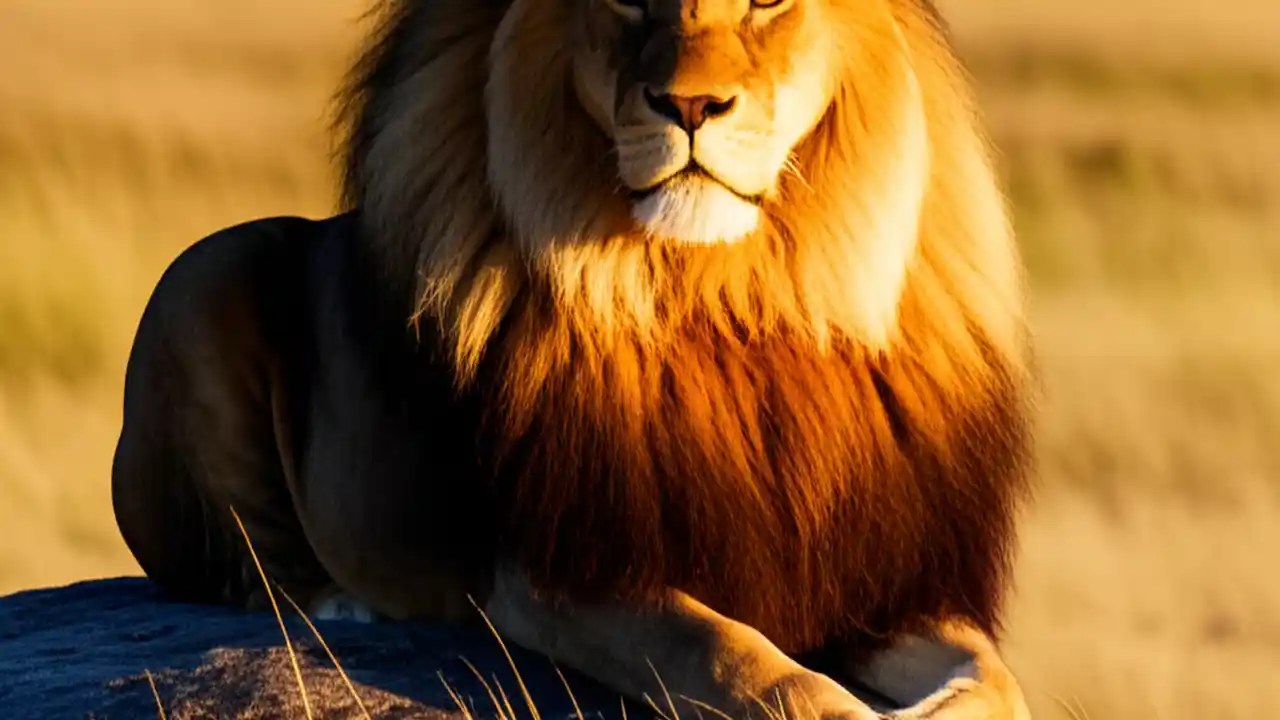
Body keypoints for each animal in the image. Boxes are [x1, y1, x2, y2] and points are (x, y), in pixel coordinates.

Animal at [111, 0, 1035, 717]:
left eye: (767, 2)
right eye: (626, 0)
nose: (690, 105)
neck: (728, 299)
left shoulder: (879, 583)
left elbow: (997, 682)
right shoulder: (558, 570)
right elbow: (736, 658)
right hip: (203, 273)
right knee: (255, 574)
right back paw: (349, 608)